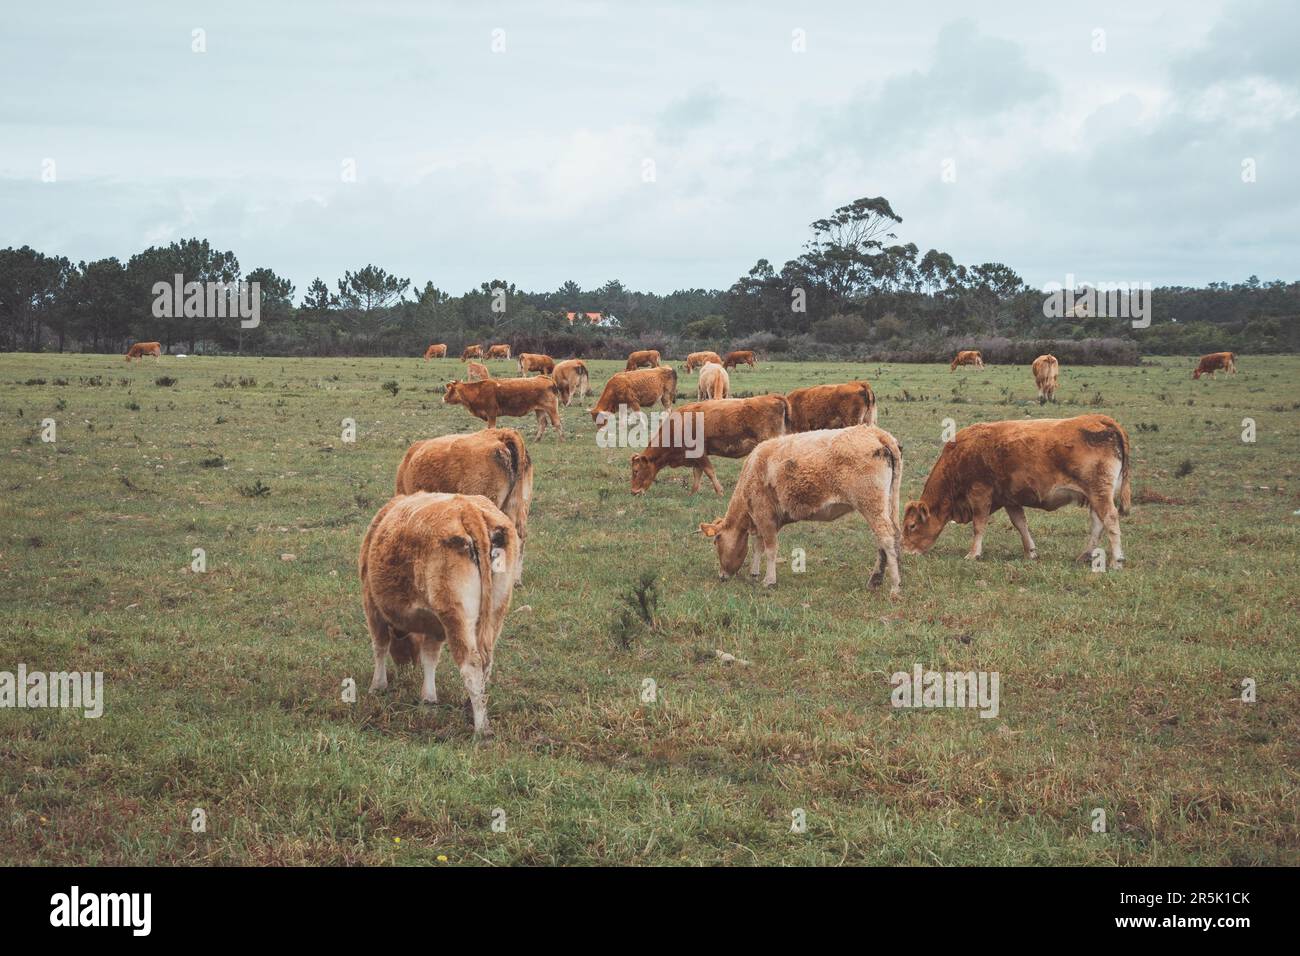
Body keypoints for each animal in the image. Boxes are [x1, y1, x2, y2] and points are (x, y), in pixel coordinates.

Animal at [359, 492, 519, 736]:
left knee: (471, 664)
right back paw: (471, 709)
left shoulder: (372, 606)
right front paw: (429, 698)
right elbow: (430, 658)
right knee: (486, 663)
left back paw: (481, 730)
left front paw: (377, 686)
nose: (405, 667)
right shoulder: (434, 627)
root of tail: (468, 509)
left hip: (457, 616)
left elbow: (380, 647)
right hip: (496, 610)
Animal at [629, 394, 788, 496]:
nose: (633, 492)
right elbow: (697, 473)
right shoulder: (695, 456)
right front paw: (692, 493)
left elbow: (709, 471)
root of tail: (772, 397)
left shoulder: (699, 452)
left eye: (636, 471)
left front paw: (719, 492)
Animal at [699, 425, 903, 595]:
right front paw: (754, 573)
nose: (722, 576)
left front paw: (769, 580)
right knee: (889, 537)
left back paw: (894, 586)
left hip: (871, 505)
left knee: (886, 538)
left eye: (717, 540)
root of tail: (874, 432)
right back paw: (877, 580)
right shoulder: (760, 519)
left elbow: (770, 549)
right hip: (885, 505)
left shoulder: (765, 516)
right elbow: (758, 546)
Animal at [901, 414, 1132, 568]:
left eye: (911, 525)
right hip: (1095, 495)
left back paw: (1116, 559)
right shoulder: (1009, 500)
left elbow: (979, 525)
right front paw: (1030, 552)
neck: (960, 455)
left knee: (1110, 518)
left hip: (1099, 492)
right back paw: (1085, 555)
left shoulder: (979, 494)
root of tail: (1099, 419)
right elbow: (1021, 524)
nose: (904, 551)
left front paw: (974, 554)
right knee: (1097, 523)